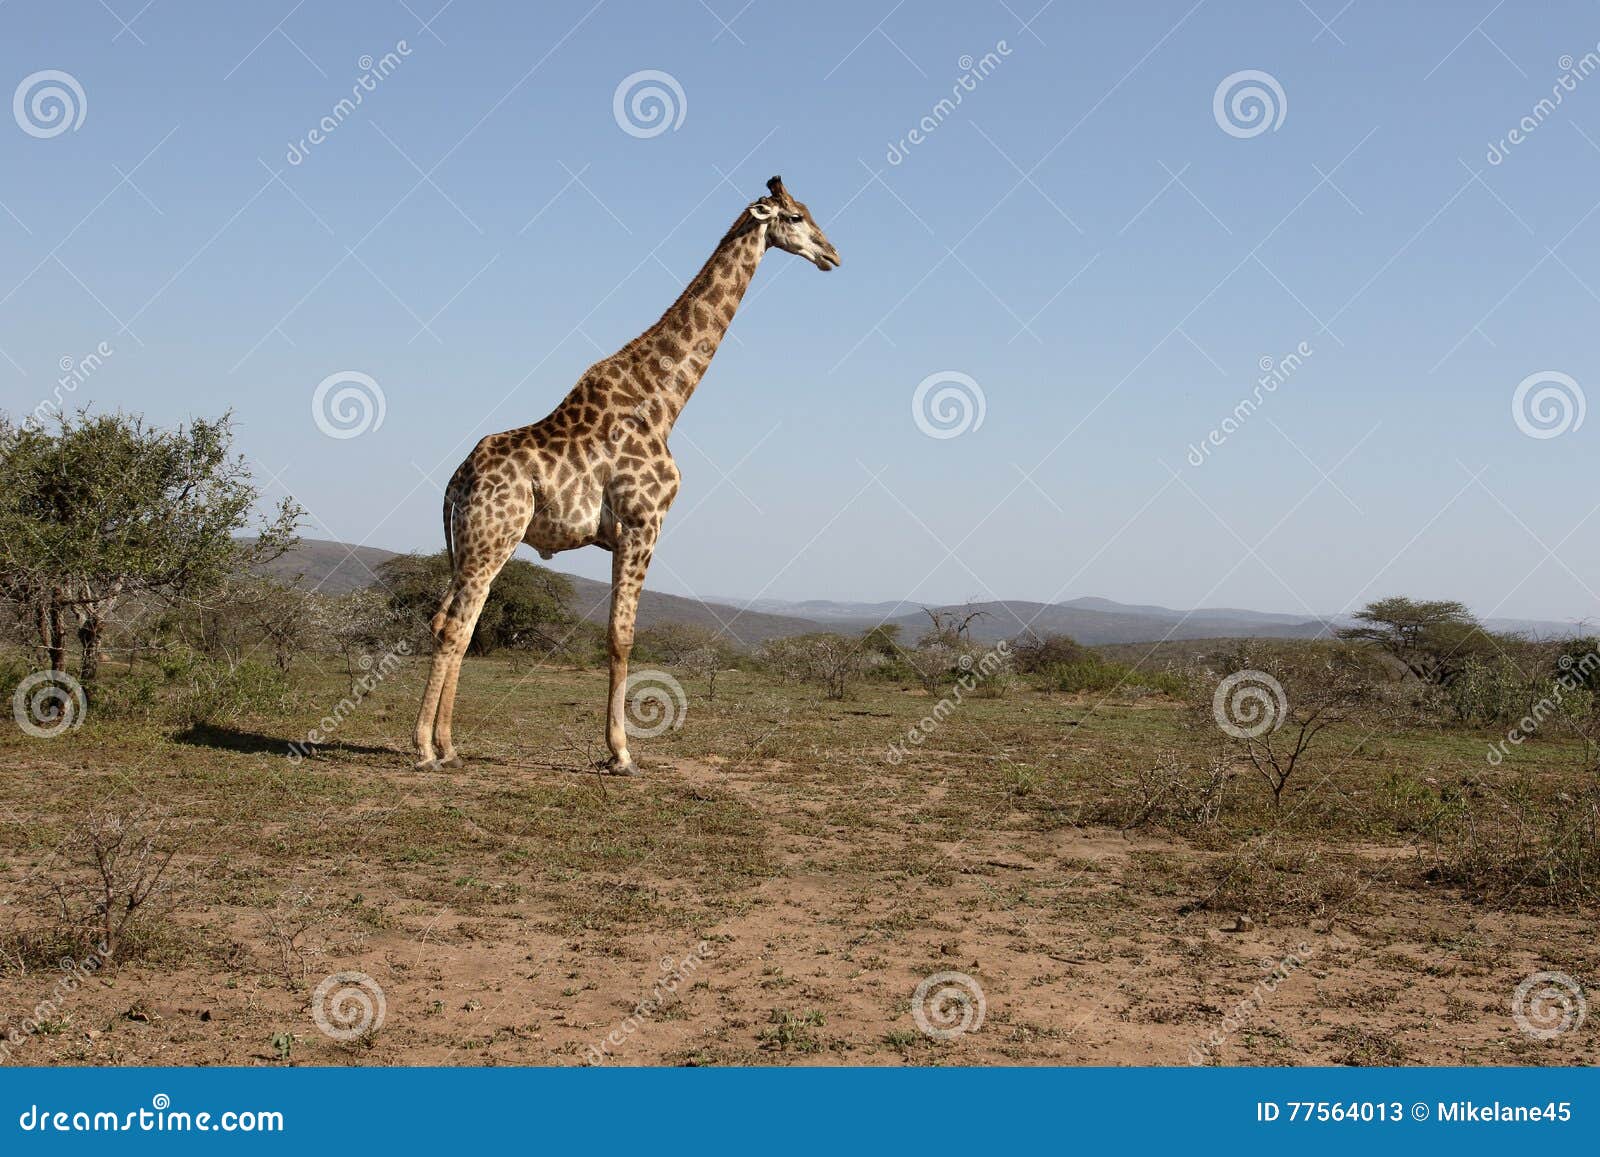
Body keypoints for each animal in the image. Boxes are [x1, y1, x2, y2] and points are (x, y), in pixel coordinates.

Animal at [412, 176, 841, 774]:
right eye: (797, 217)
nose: (832, 255)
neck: (662, 402)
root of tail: (455, 480)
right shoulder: (644, 524)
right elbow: (622, 638)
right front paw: (621, 753)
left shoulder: (623, 534)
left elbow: (615, 636)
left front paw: (616, 749)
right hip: (491, 537)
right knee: (455, 627)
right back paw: (425, 749)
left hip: (476, 543)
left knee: (452, 624)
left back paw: (450, 745)